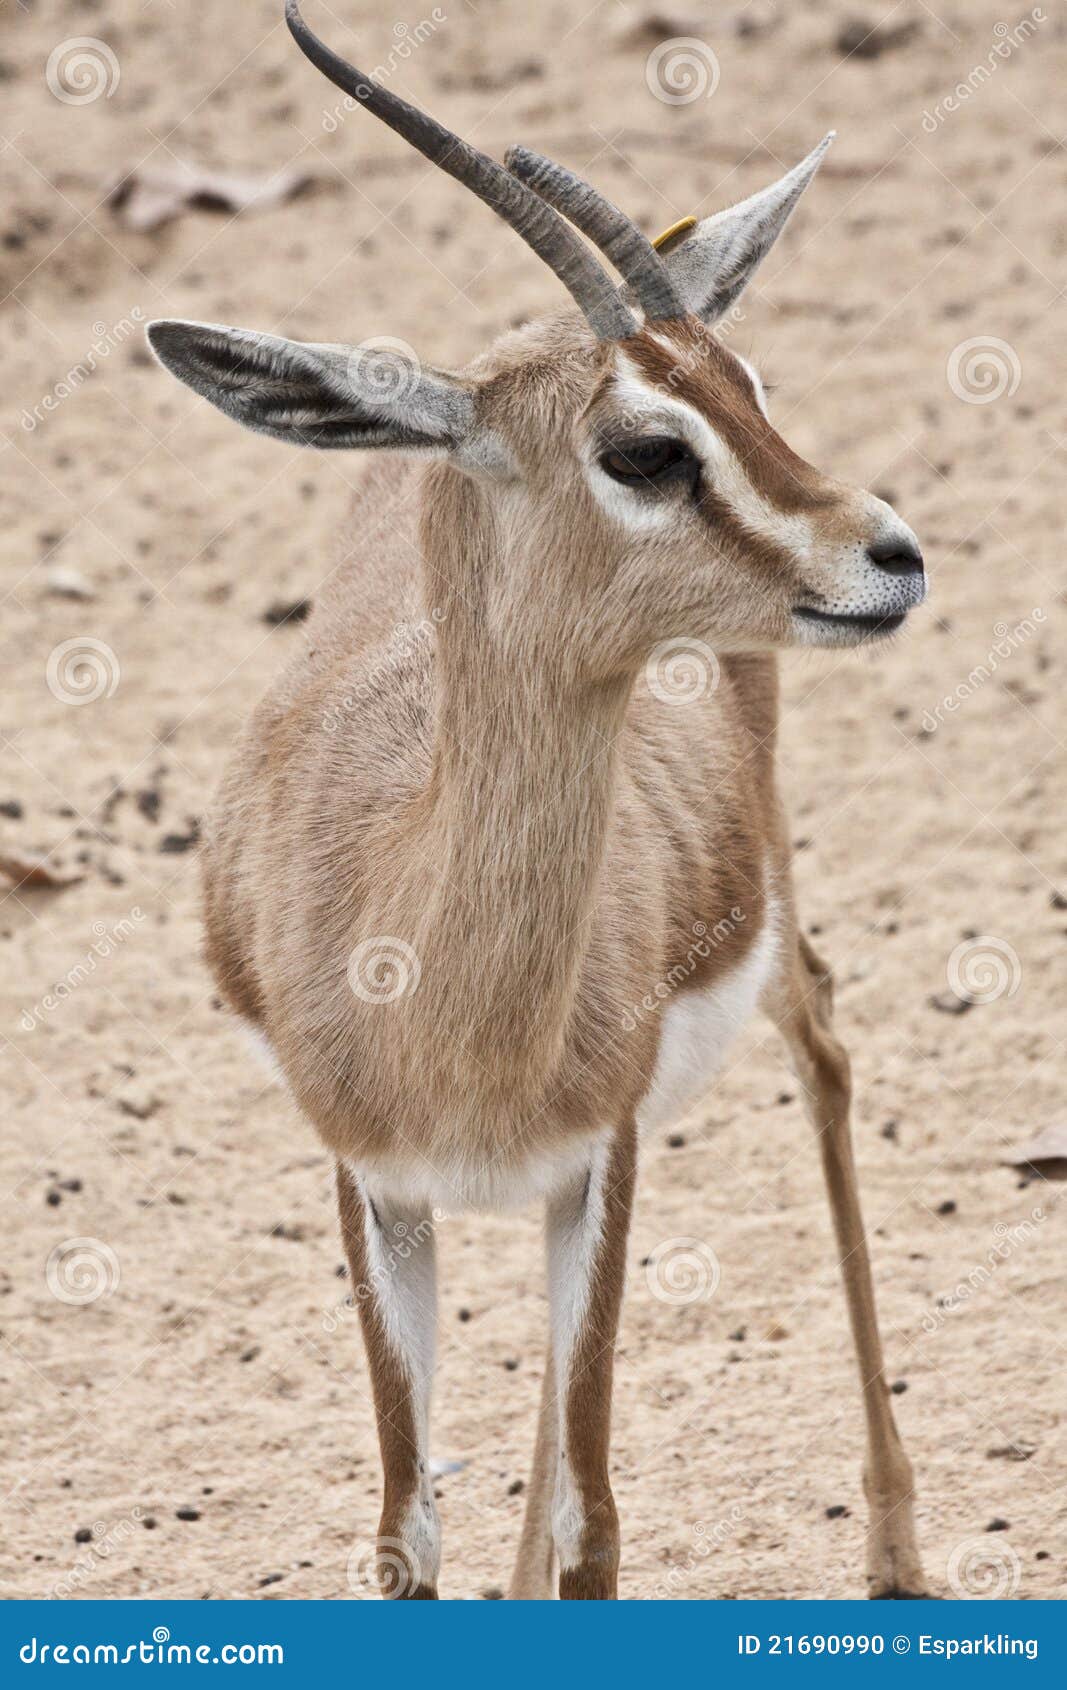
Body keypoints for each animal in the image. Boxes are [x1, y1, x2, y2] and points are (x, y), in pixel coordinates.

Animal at [147, 0, 930, 1600]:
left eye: (748, 391)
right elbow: (408, 1526)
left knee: (823, 1037)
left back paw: (895, 1541)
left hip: (763, 930)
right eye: (642, 447)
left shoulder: (599, 1159)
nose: (886, 551)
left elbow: (596, 1523)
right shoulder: (375, 1186)